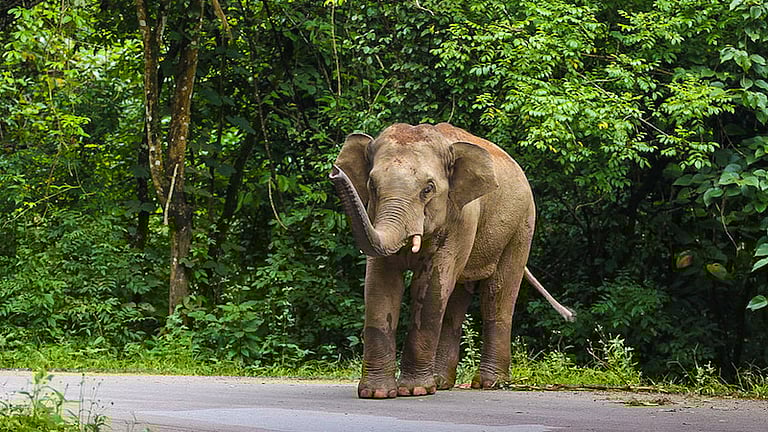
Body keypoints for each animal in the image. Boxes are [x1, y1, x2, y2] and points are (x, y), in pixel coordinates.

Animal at [329, 123, 573, 399]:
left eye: (428, 189)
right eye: (372, 185)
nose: (334, 173)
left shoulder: (462, 217)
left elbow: (431, 286)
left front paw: (415, 390)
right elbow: (381, 285)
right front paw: (377, 394)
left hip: (521, 227)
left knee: (496, 297)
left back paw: (489, 383)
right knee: (455, 302)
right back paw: (441, 381)